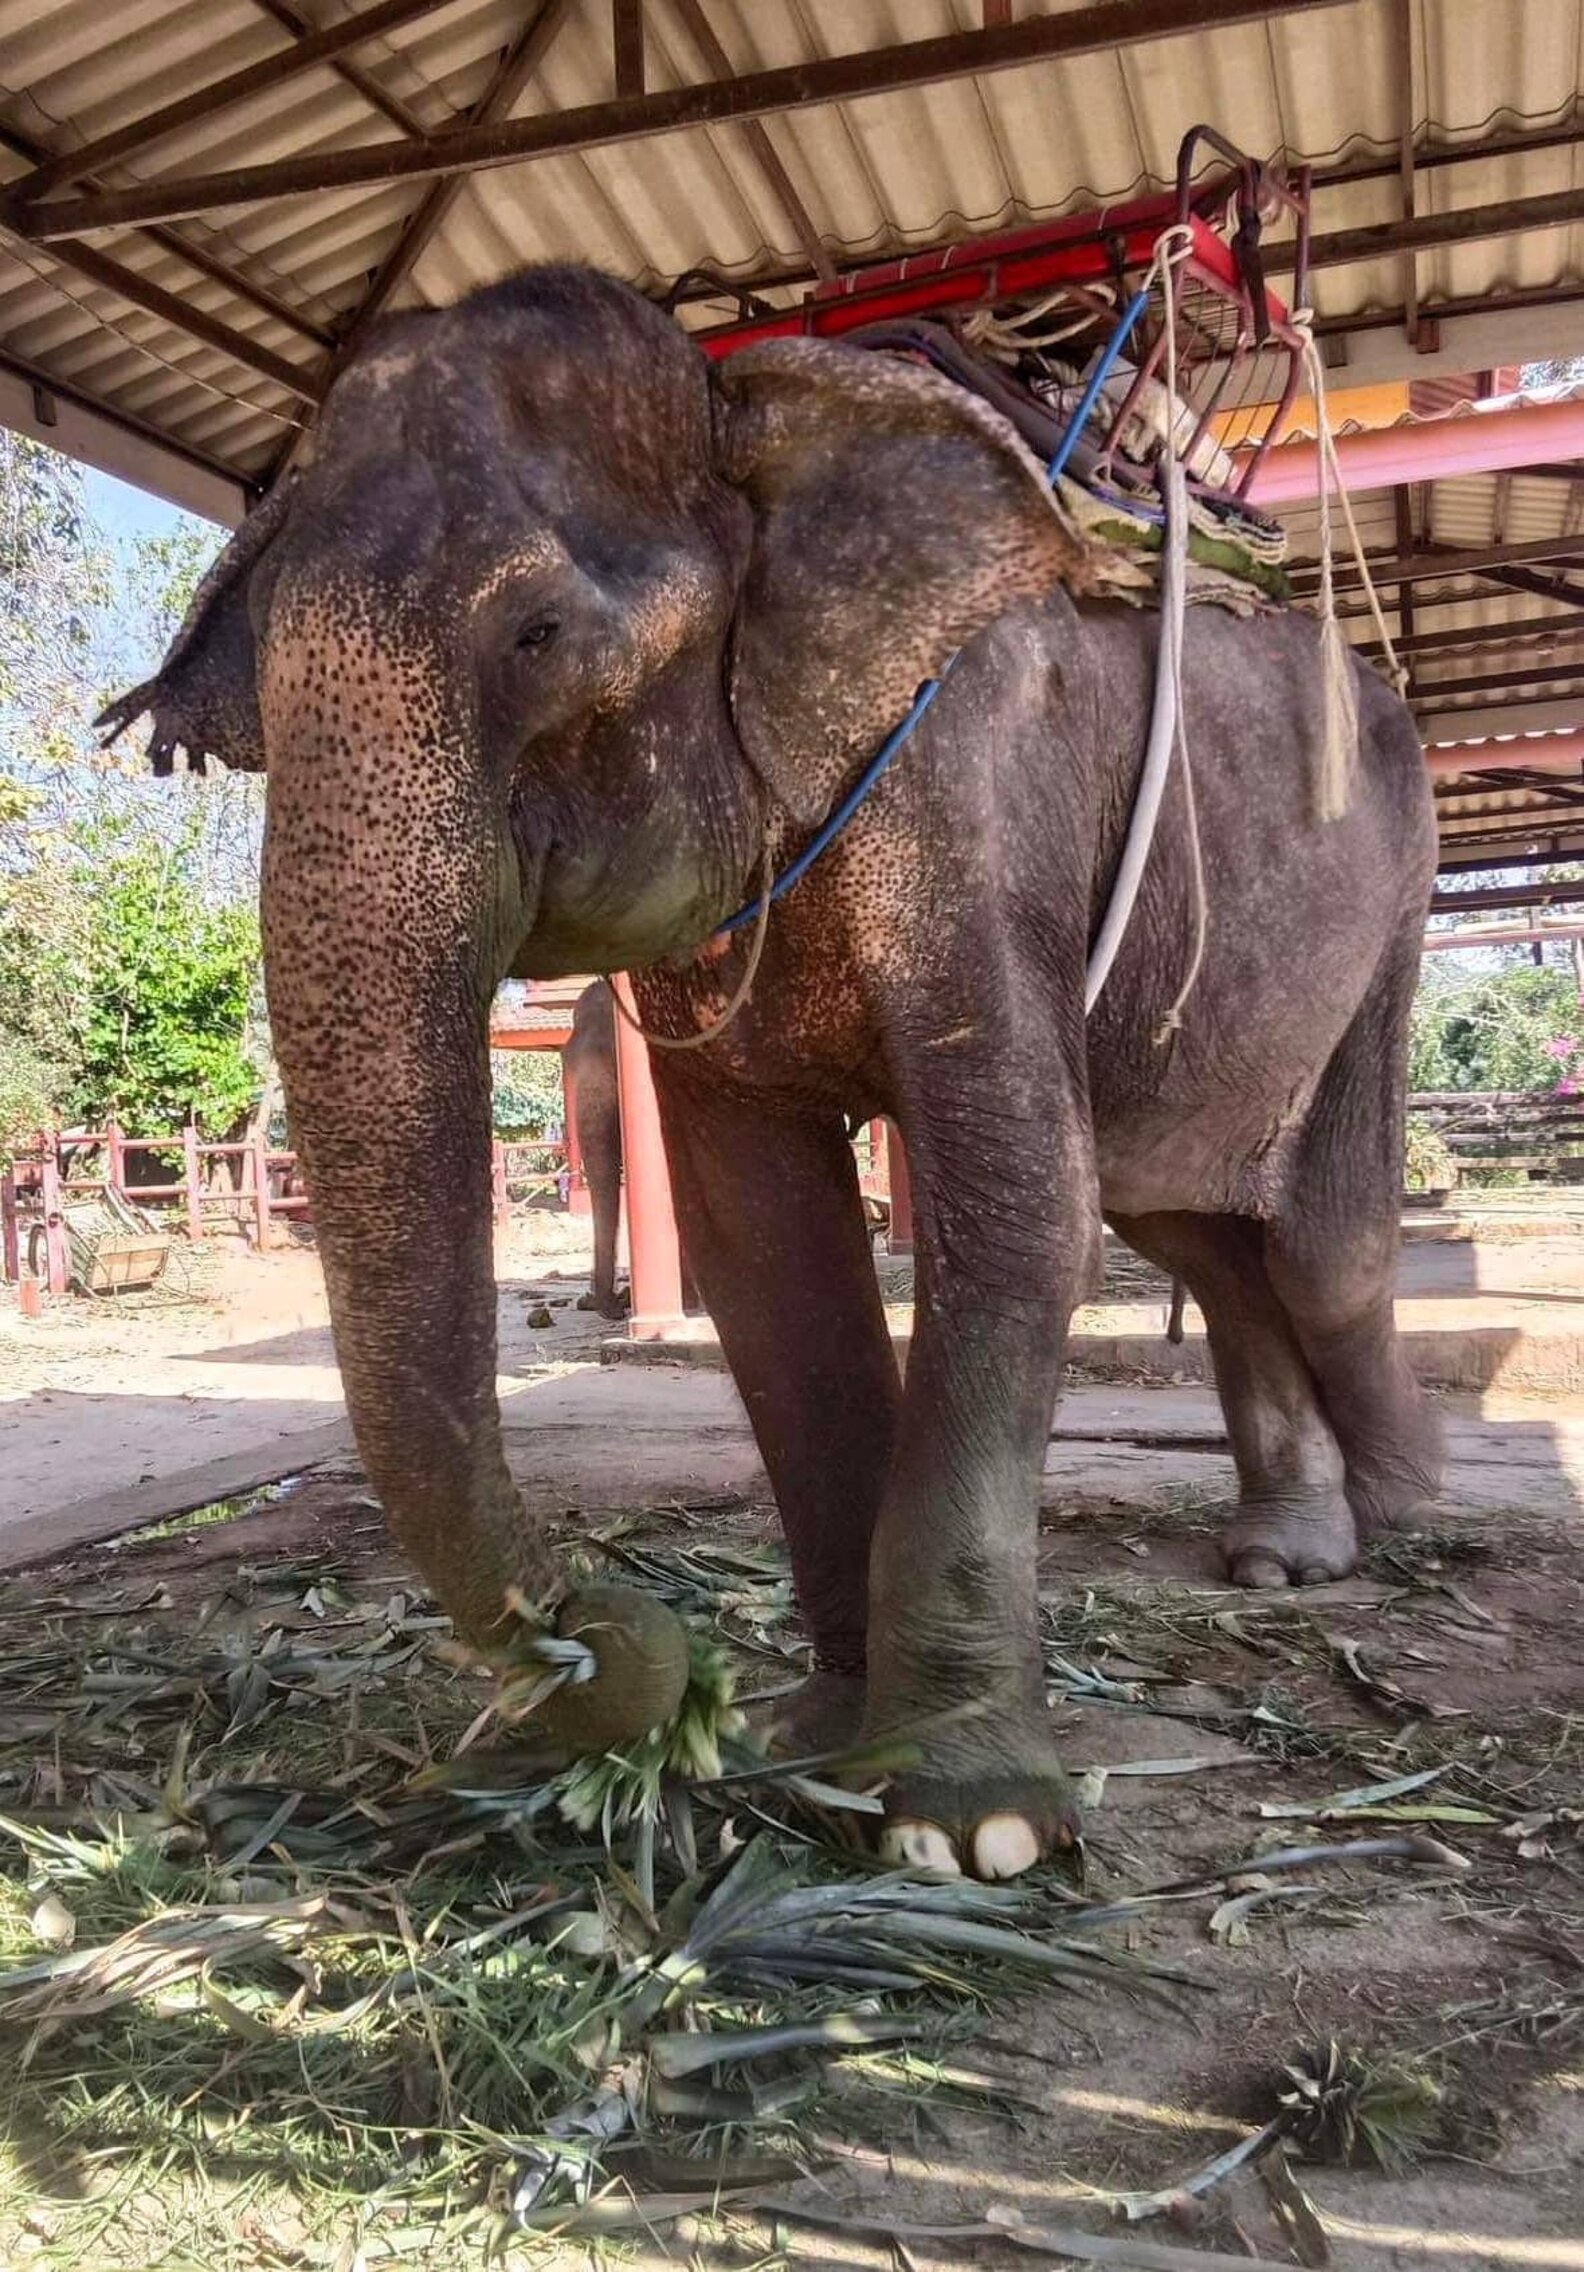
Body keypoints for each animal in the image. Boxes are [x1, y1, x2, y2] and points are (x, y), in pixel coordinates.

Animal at [103, 263, 1442, 1881]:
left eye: (538, 635)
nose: (611, 1637)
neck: (748, 399)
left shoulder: (974, 788)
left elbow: (1017, 1203)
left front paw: (969, 1831)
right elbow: (765, 1238)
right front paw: (813, 1740)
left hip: (1392, 901)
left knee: (1312, 1241)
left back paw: (1402, 1518)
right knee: (1186, 1218)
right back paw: (1286, 1554)